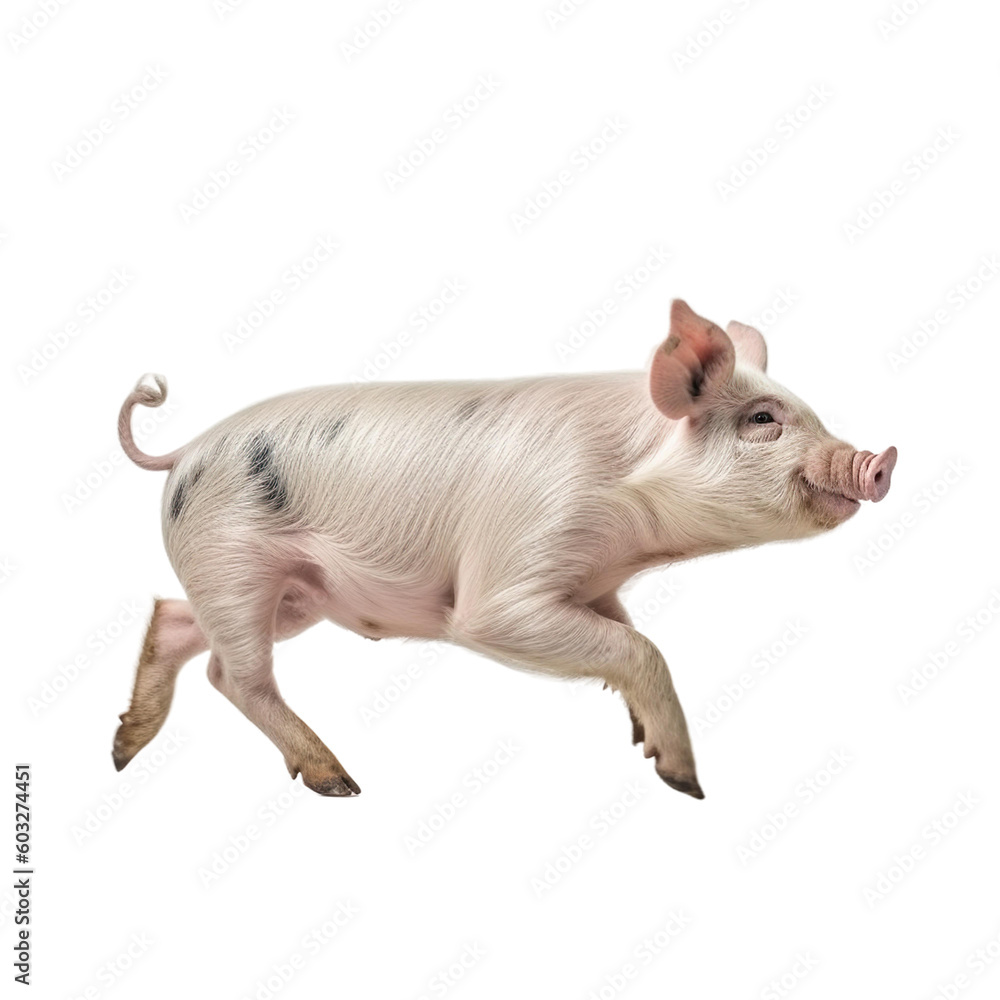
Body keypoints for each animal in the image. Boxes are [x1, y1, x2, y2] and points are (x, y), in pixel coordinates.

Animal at [112, 299, 896, 800]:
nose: (881, 458)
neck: (630, 532)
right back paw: (341, 783)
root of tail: (183, 452)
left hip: (293, 593)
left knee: (179, 625)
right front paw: (684, 783)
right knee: (236, 675)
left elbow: (626, 633)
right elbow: (628, 645)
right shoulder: (509, 575)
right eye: (763, 419)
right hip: (233, 562)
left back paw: (124, 753)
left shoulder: (594, 584)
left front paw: (641, 740)